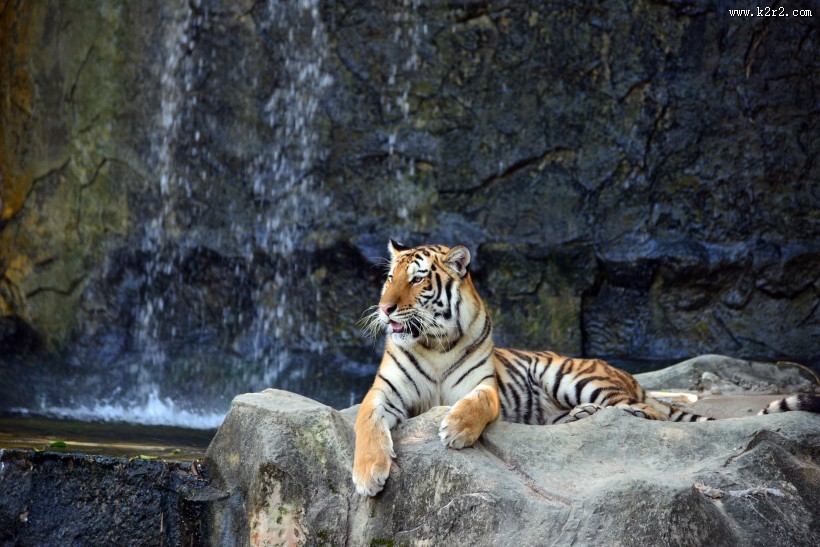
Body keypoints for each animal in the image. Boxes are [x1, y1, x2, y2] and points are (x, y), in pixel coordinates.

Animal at [352, 241, 820, 496]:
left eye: (417, 279)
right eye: (389, 278)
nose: (384, 308)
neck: (434, 342)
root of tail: (628, 376)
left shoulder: (483, 387)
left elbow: (477, 405)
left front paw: (456, 429)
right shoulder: (383, 393)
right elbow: (366, 424)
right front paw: (369, 475)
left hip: (571, 375)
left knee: (644, 411)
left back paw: (614, 411)